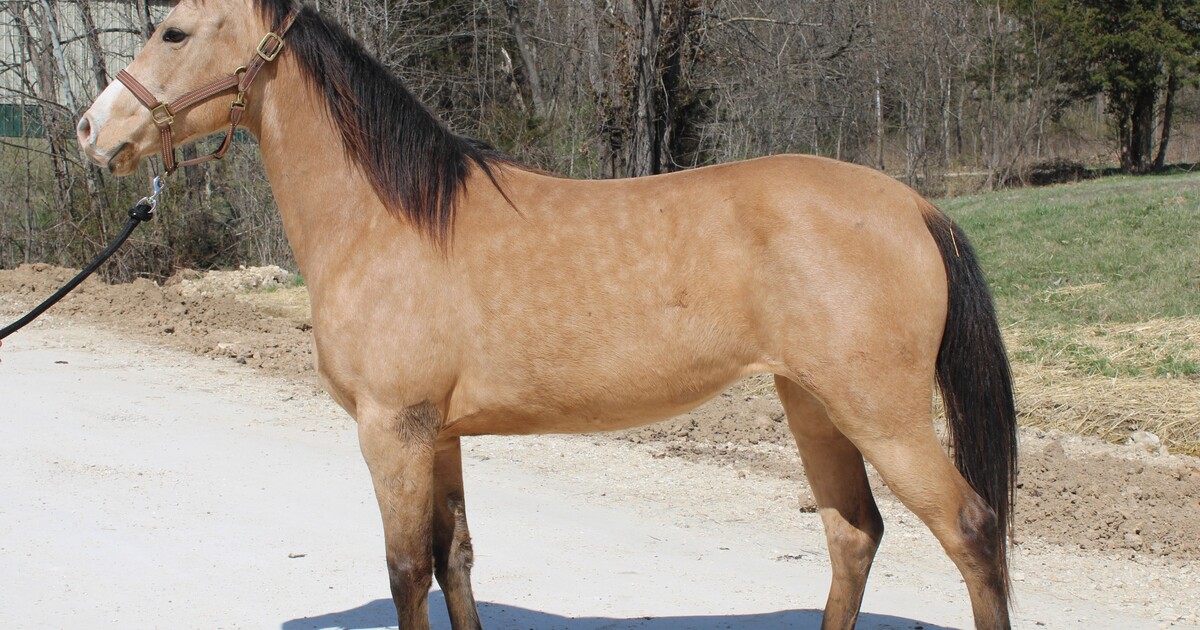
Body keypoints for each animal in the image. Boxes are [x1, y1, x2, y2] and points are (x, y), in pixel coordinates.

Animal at [76, 1, 1017, 628]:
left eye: (172, 31)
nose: (91, 131)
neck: (389, 221)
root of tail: (914, 206)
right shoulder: (439, 435)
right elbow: (453, 561)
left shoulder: (392, 431)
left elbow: (406, 571)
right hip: (814, 406)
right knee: (853, 536)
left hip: (882, 415)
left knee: (971, 531)